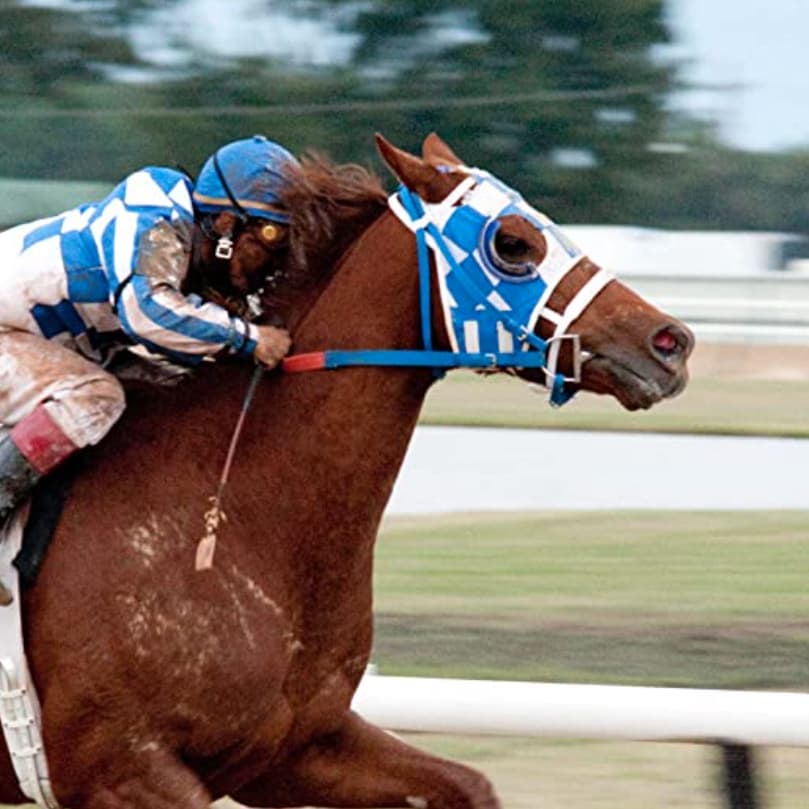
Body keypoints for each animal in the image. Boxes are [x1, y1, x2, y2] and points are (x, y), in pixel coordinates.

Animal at [0, 133, 693, 809]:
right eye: (513, 244)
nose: (670, 342)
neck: (240, 515)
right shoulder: (121, 768)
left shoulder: (294, 749)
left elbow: (471, 786)